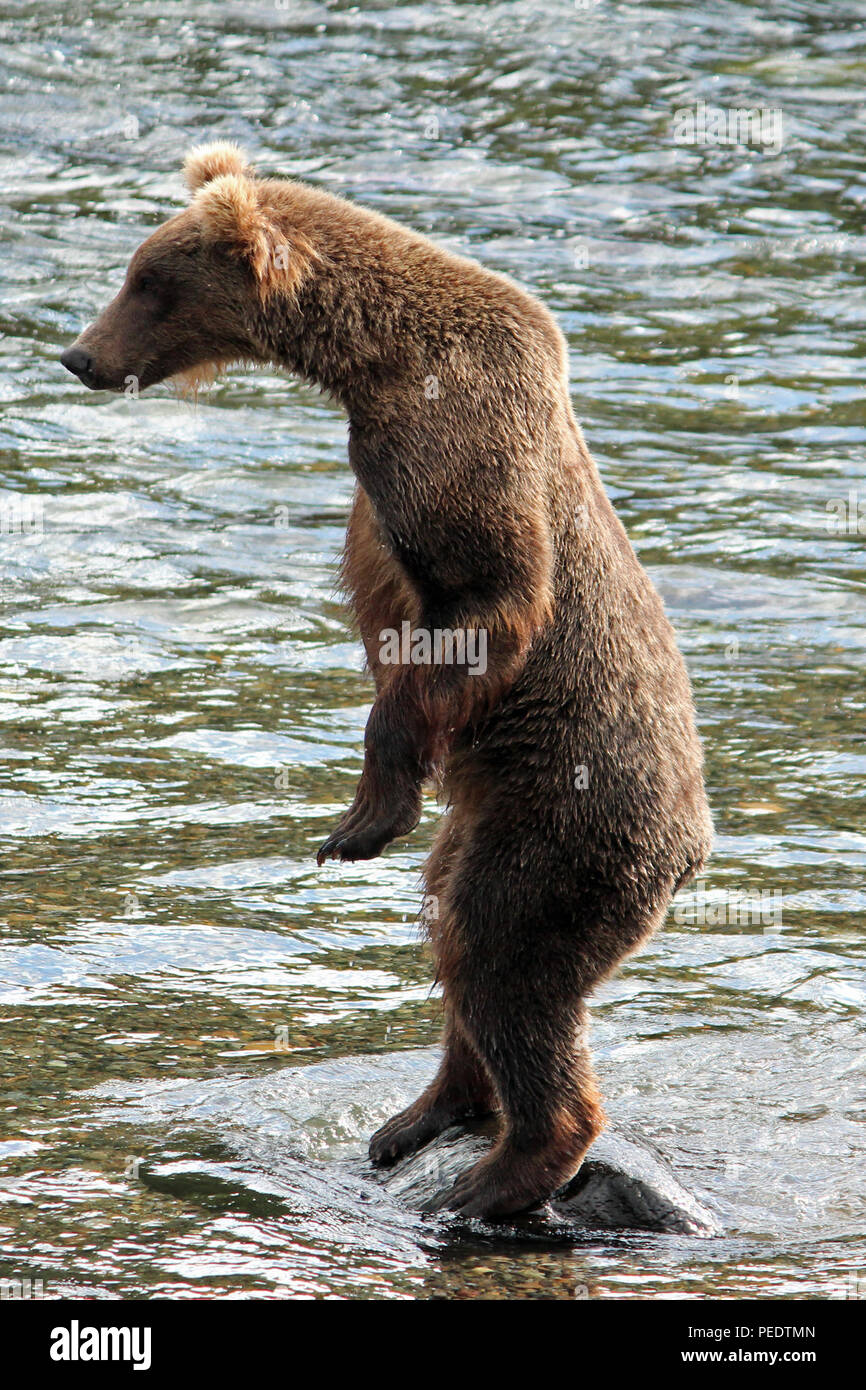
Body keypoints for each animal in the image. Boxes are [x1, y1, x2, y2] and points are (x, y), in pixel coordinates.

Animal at [61, 143, 713, 1219]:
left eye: (148, 281)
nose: (80, 356)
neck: (369, 366)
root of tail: (692, 853)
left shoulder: (454, 433)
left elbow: (485, 603)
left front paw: (359, 819)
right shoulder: (378, 456)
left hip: (561, 826)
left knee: (503, 963)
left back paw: (493, 1174)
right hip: (490, 827)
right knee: (453, 941)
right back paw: (420, 1117)